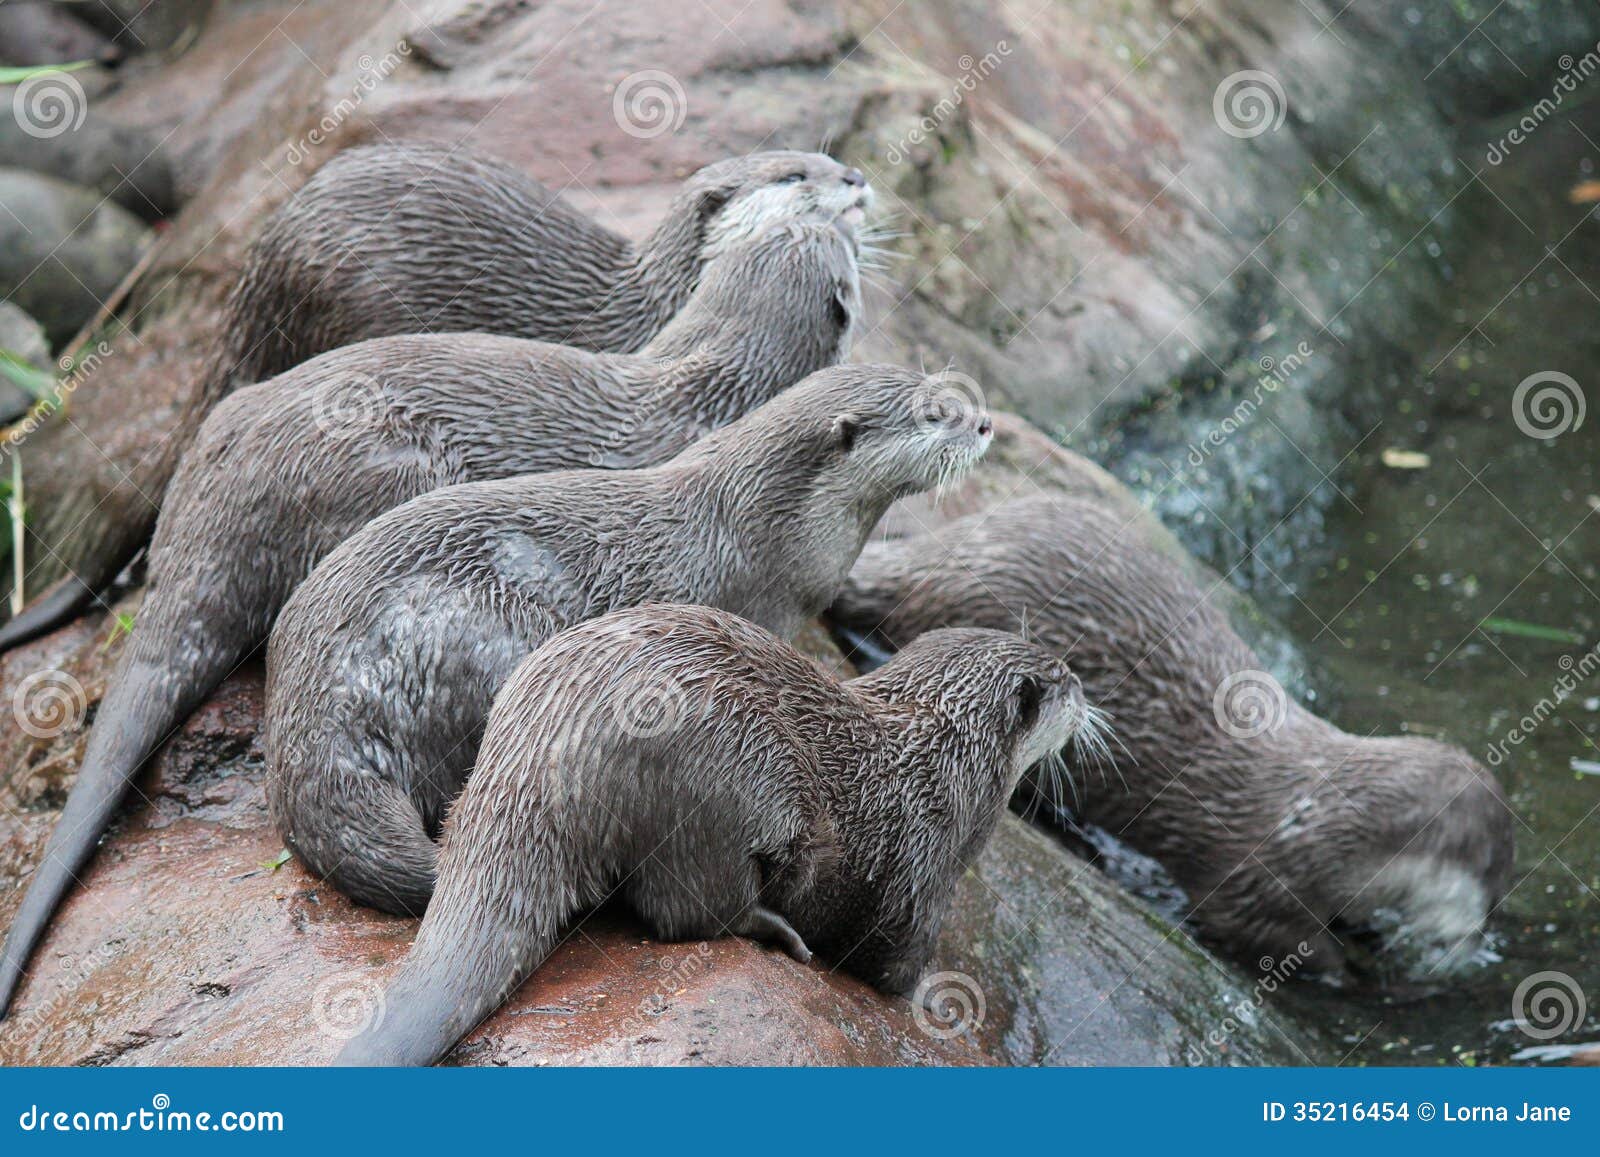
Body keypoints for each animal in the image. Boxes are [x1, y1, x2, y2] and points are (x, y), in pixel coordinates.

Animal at [264, 366, 993, 918]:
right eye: (937, 414)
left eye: (950, 390)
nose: (986, 423)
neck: (767, 527)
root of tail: (312, 704)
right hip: (479, 639)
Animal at [334, 603, 1085, 1066]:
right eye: (1063, 678)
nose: (1082, 688)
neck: (941, 758)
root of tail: (541, 755)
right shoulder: (925, 868)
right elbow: (894, 964)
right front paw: (934, 998)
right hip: (728, 780)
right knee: (685, 911)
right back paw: (777, 930)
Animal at [832, 495, 1515, 981]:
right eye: (1489, 885)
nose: (1474, 948)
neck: (1322, 819)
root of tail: (955, 552)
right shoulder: (1253, 884)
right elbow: (1272, 939)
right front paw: (1354, 972)